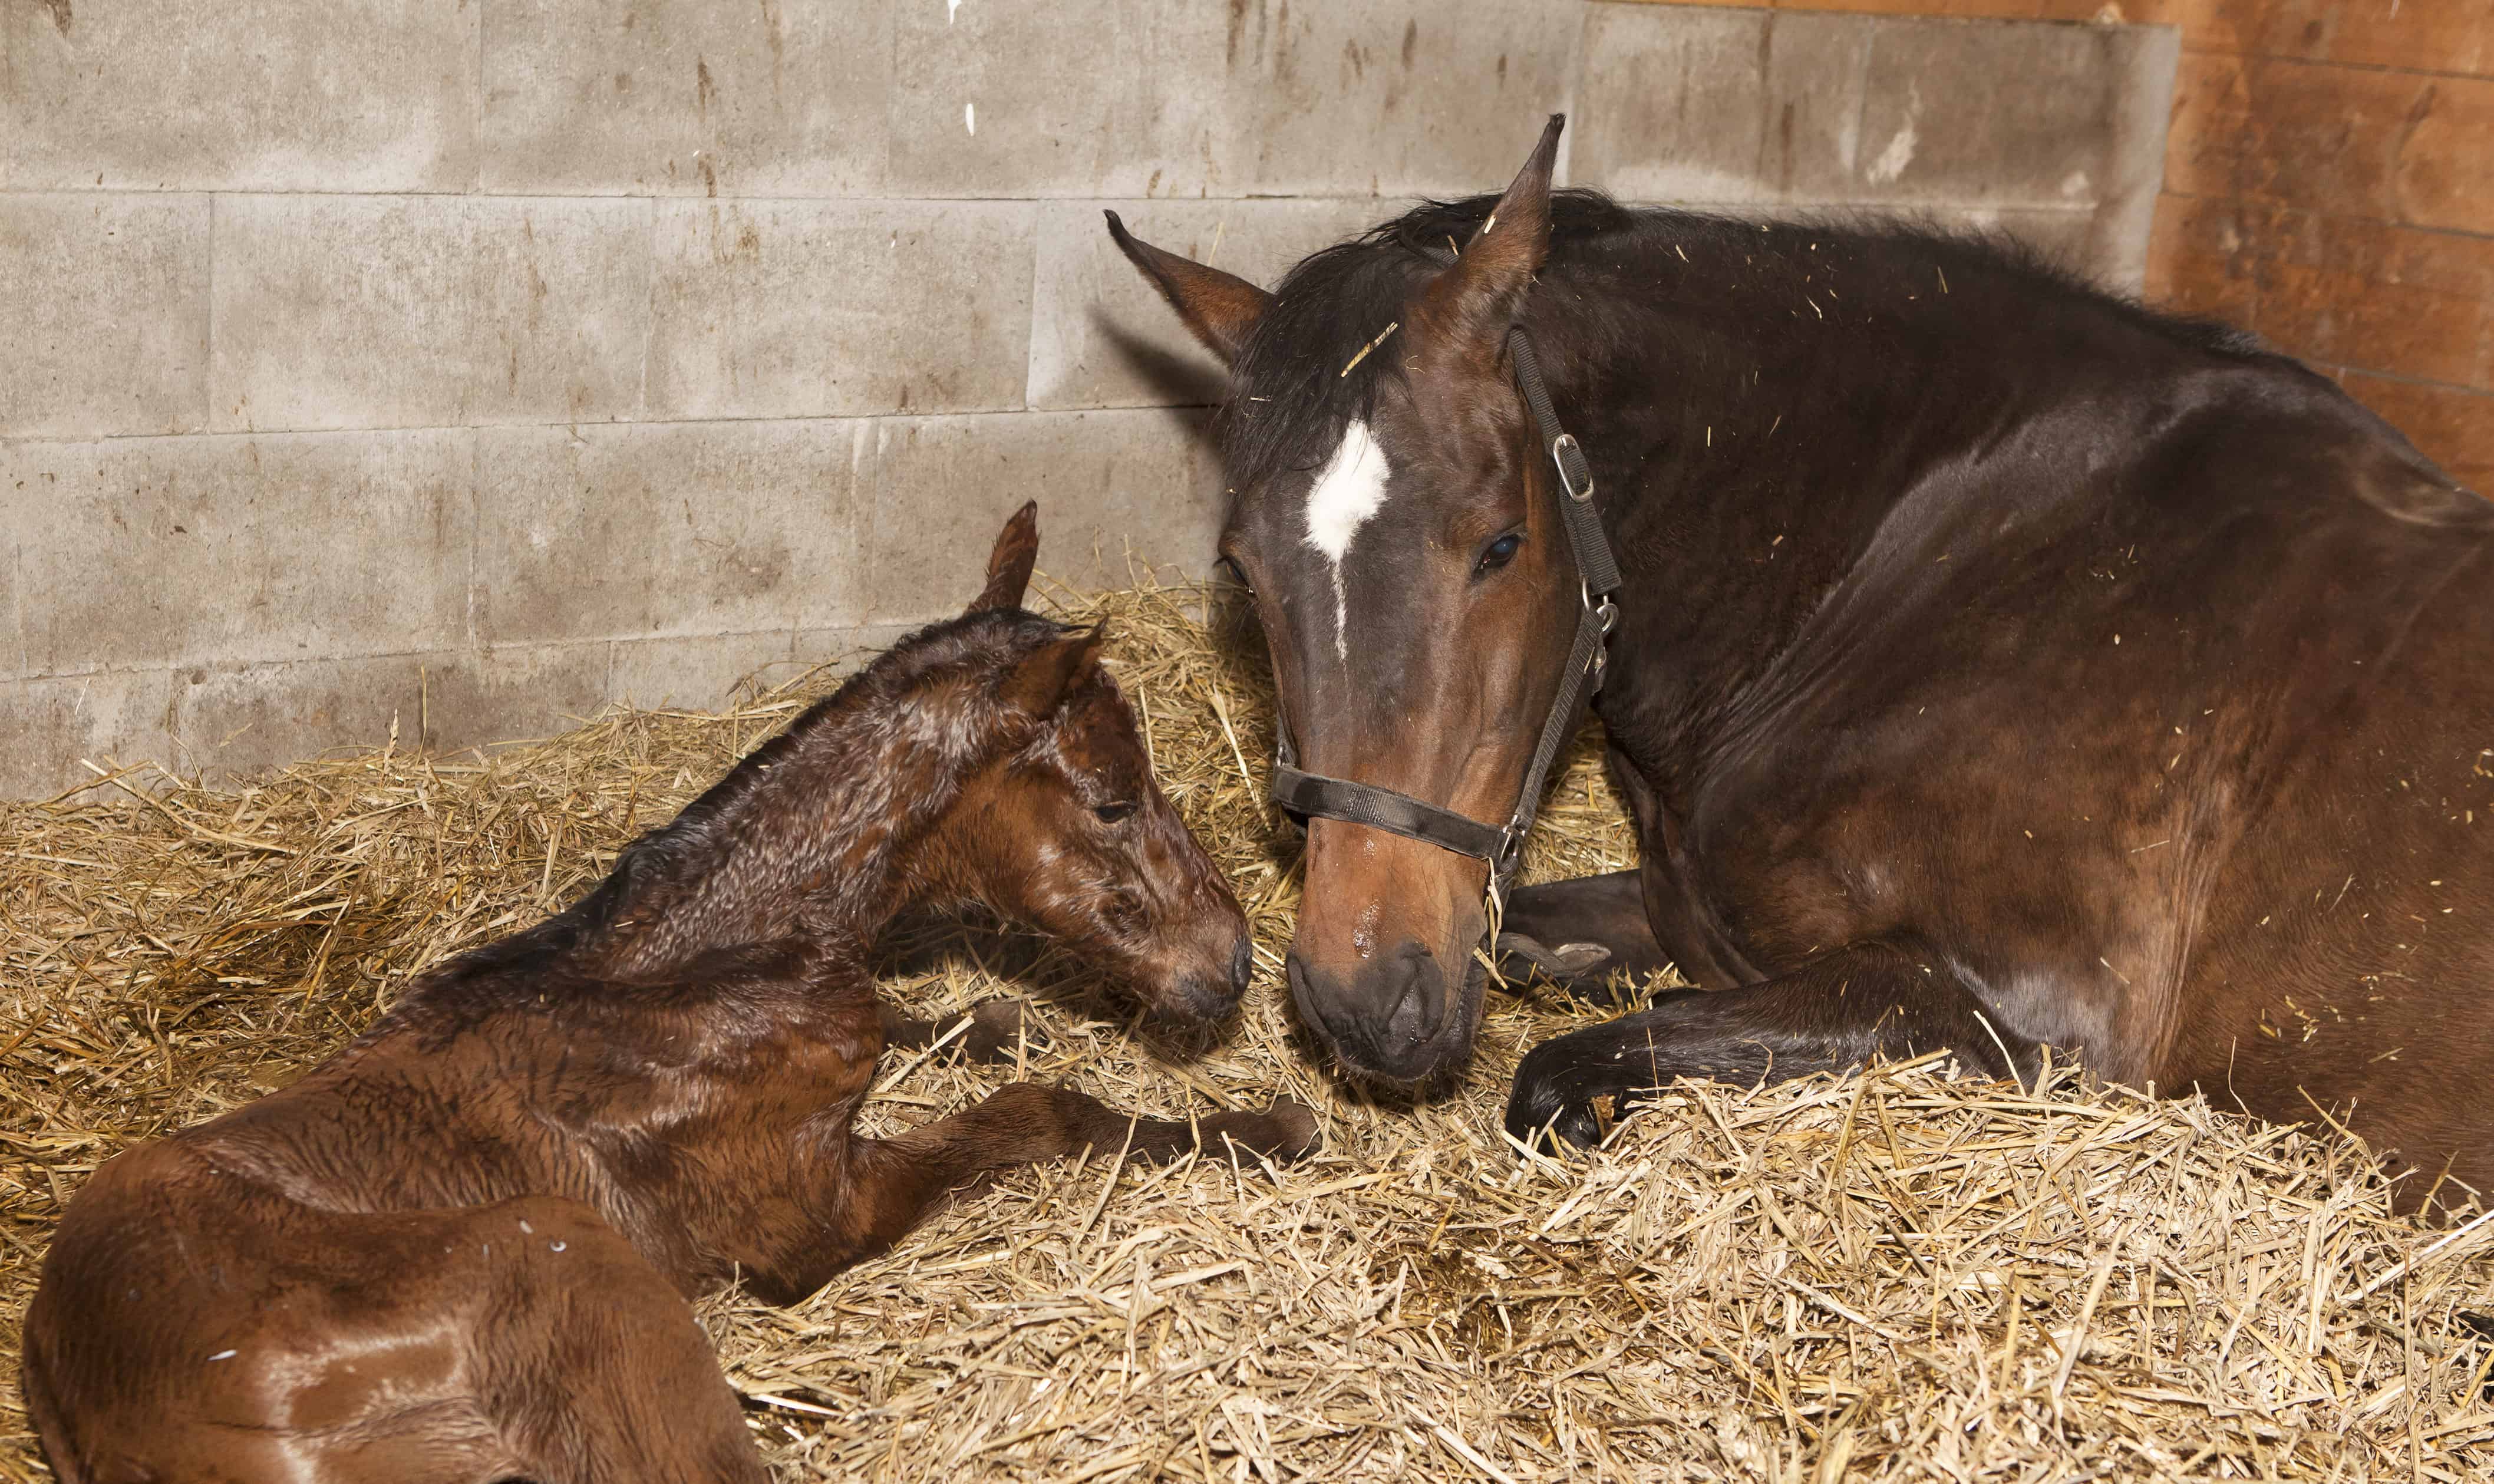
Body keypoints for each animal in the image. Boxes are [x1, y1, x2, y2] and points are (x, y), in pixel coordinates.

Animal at [21, 504, 1319, 1484]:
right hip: (574, 1262)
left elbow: (952, 1030)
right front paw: (1262, 1125)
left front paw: (986, 1018)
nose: (1229, 961)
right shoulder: (815, 1215)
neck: (696, 972)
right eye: (1110, 798)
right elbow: (1050, 1112)